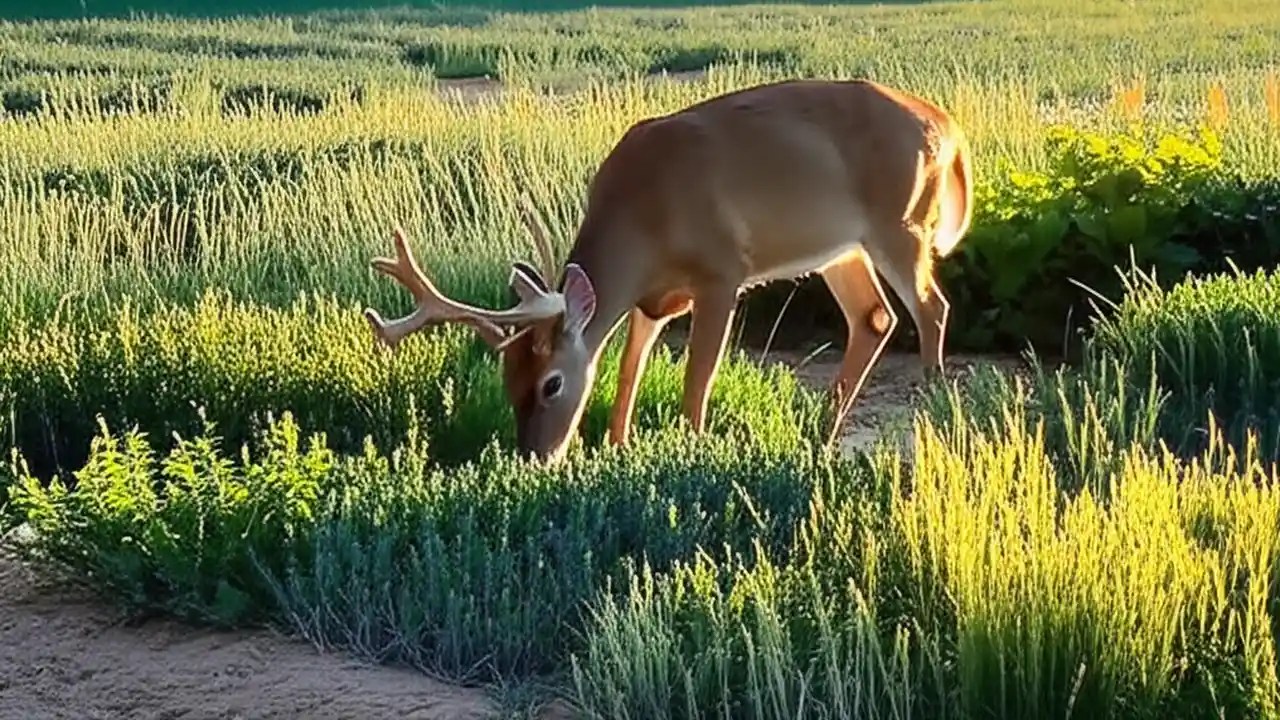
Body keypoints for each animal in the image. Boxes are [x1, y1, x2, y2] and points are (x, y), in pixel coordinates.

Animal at [363, 78, 974, 462]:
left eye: (550, 383)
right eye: (507, 379)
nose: (534, 458)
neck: (643, 216)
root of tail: (950, 126)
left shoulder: (722, 271)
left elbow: (697, 376)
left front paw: (690, 447)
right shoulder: (651, 299)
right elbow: (627, 367)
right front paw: (618, 446)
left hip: (900, 223)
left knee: (932, 307)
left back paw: (932, 408)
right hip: (840, 249)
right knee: (873, 317)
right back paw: (820, 435)